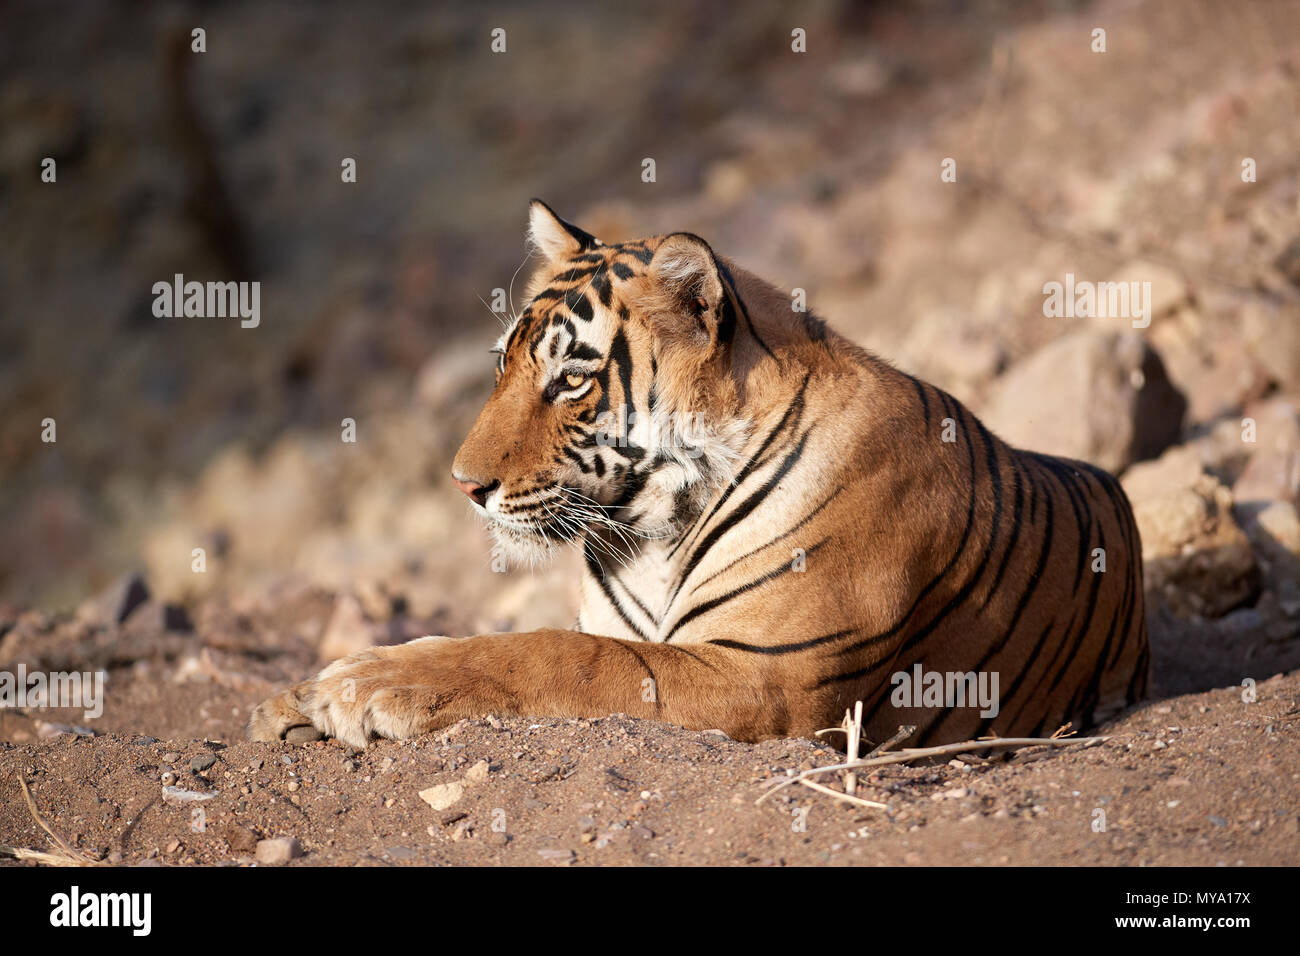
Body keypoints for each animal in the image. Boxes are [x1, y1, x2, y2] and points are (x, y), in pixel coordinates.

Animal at [249, 200, 1150, 750]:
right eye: (503, 367)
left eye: (569, 380)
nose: (464, 485)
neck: (650, 529)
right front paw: (295, 697)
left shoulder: (770, 677)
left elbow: (557, 656)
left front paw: (365, 685)